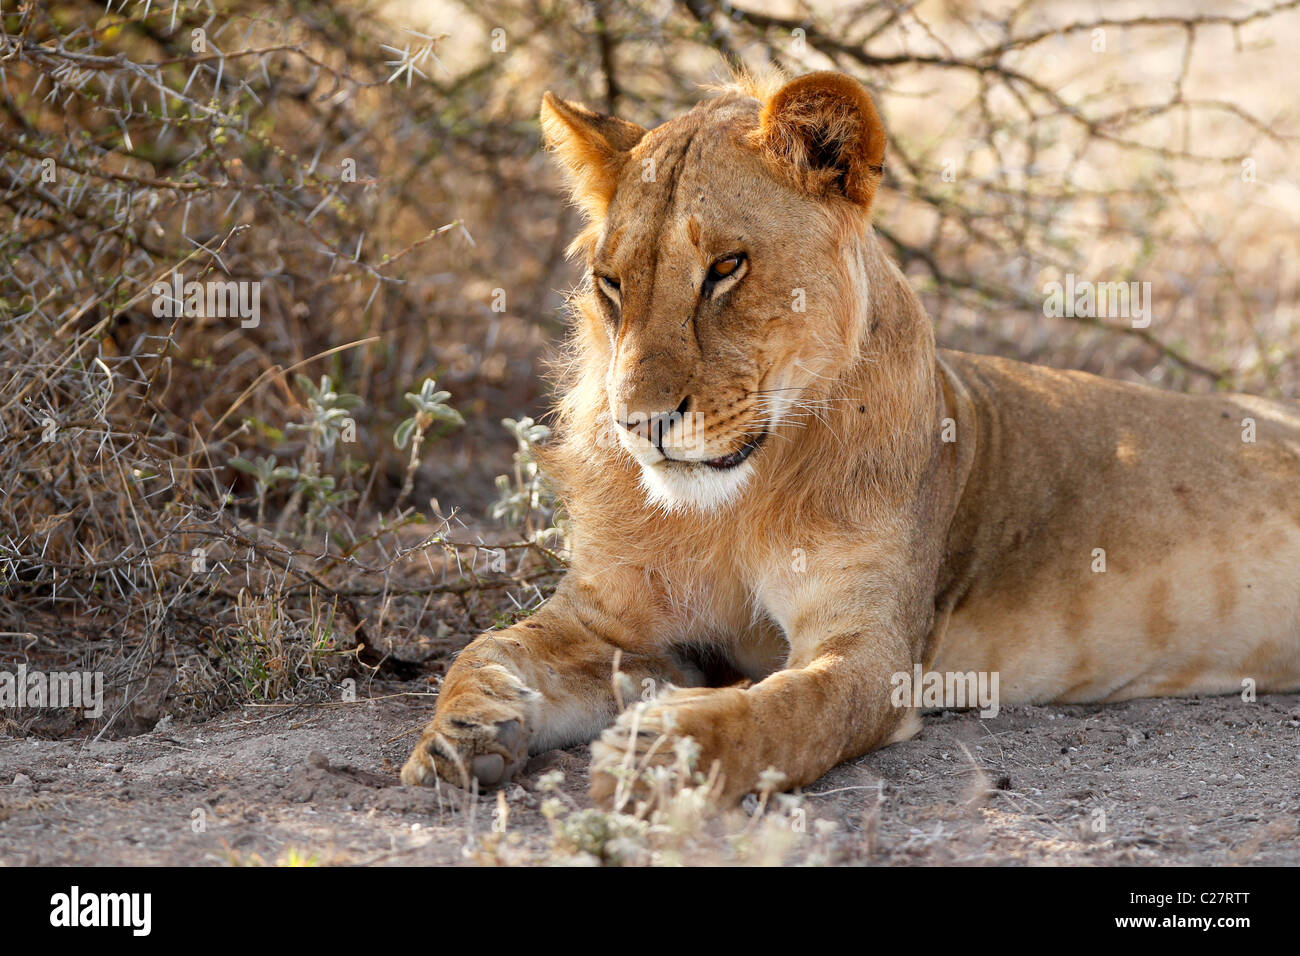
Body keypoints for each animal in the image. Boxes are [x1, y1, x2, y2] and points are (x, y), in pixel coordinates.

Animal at [400, 71, 1300, 805]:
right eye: (611, 284)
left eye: (725, 268)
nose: (638, 425)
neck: (732, 503)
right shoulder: (613, 623)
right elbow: (486, 646)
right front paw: (462, 732)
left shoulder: (871, 651)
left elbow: (789, 710)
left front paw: (667, 750)